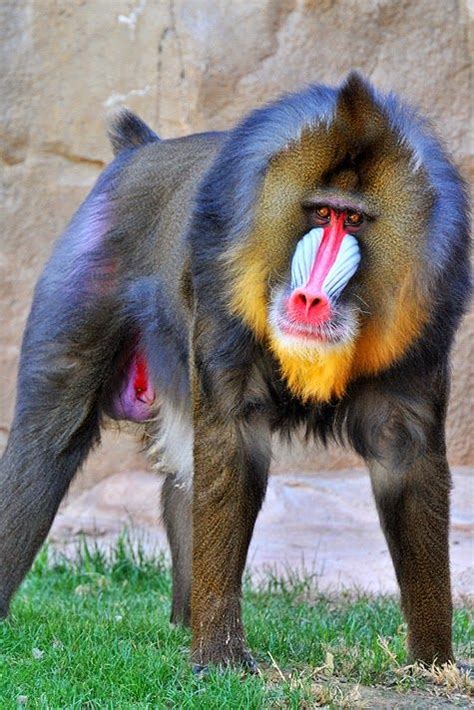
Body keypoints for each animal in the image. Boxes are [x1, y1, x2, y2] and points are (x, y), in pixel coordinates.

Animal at [0, 73, 470, 673]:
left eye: (354, 219)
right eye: (320, 214)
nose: (310, 299)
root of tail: (140, 150)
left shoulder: (421, 331)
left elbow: (408, 458)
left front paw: (436, 663)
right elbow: (229, 440)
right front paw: (220, 657)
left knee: (182, 479)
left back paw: (184, 621)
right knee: (46, 440)